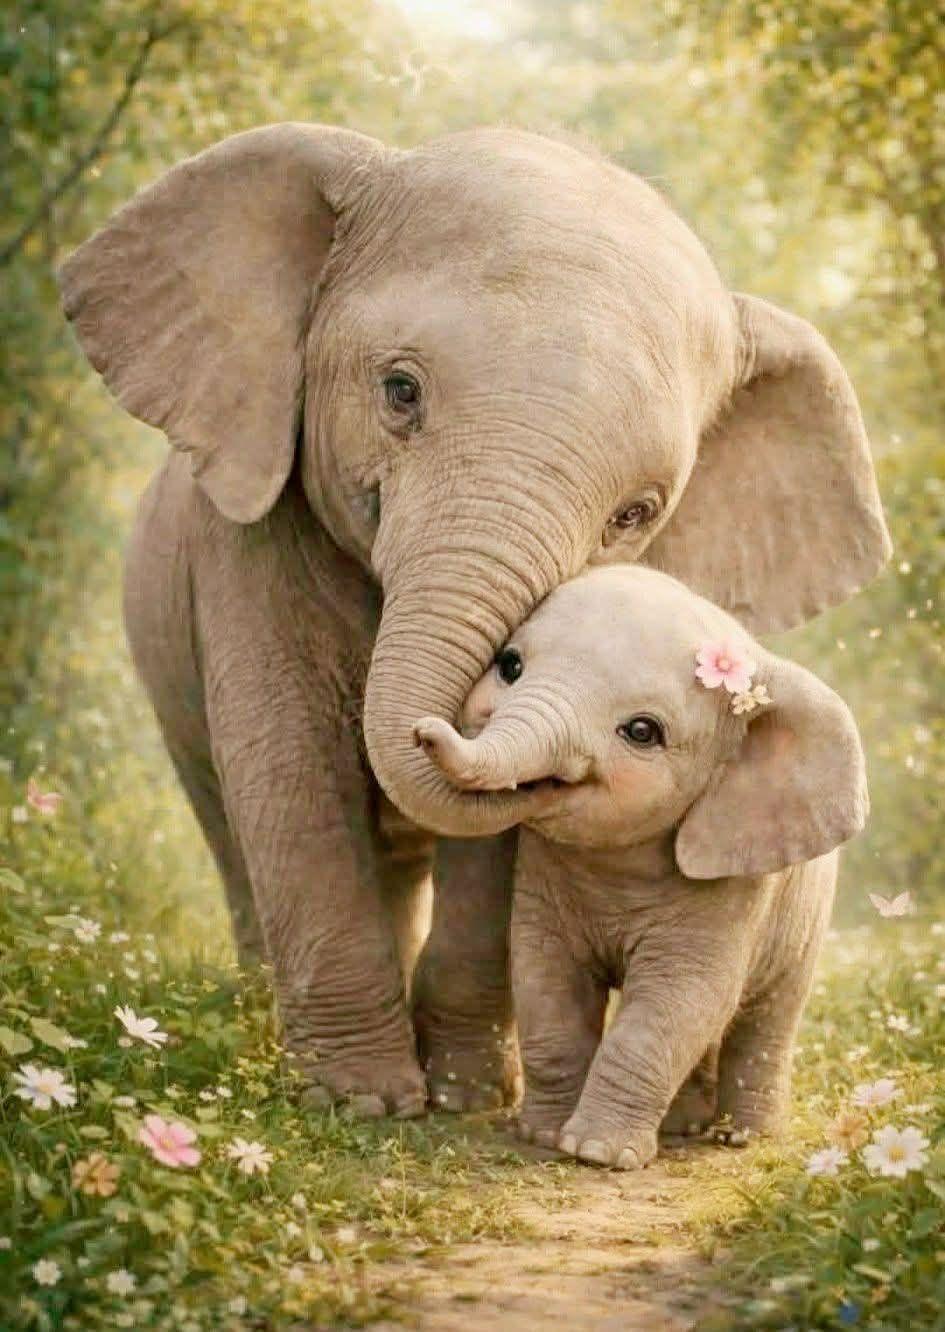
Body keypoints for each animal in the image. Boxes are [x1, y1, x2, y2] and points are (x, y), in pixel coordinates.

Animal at [415, 564, 867, 1166]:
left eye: (642, 732)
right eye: (509, 665)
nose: (423, 730)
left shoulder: (735, 888)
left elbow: (679, 1000)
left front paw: (596, 1152)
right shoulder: (544, 880)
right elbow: (545, 982)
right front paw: (543, 1137)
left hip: (807, 918)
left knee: (768, 1016)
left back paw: (744, 1136)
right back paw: (682, 1127)